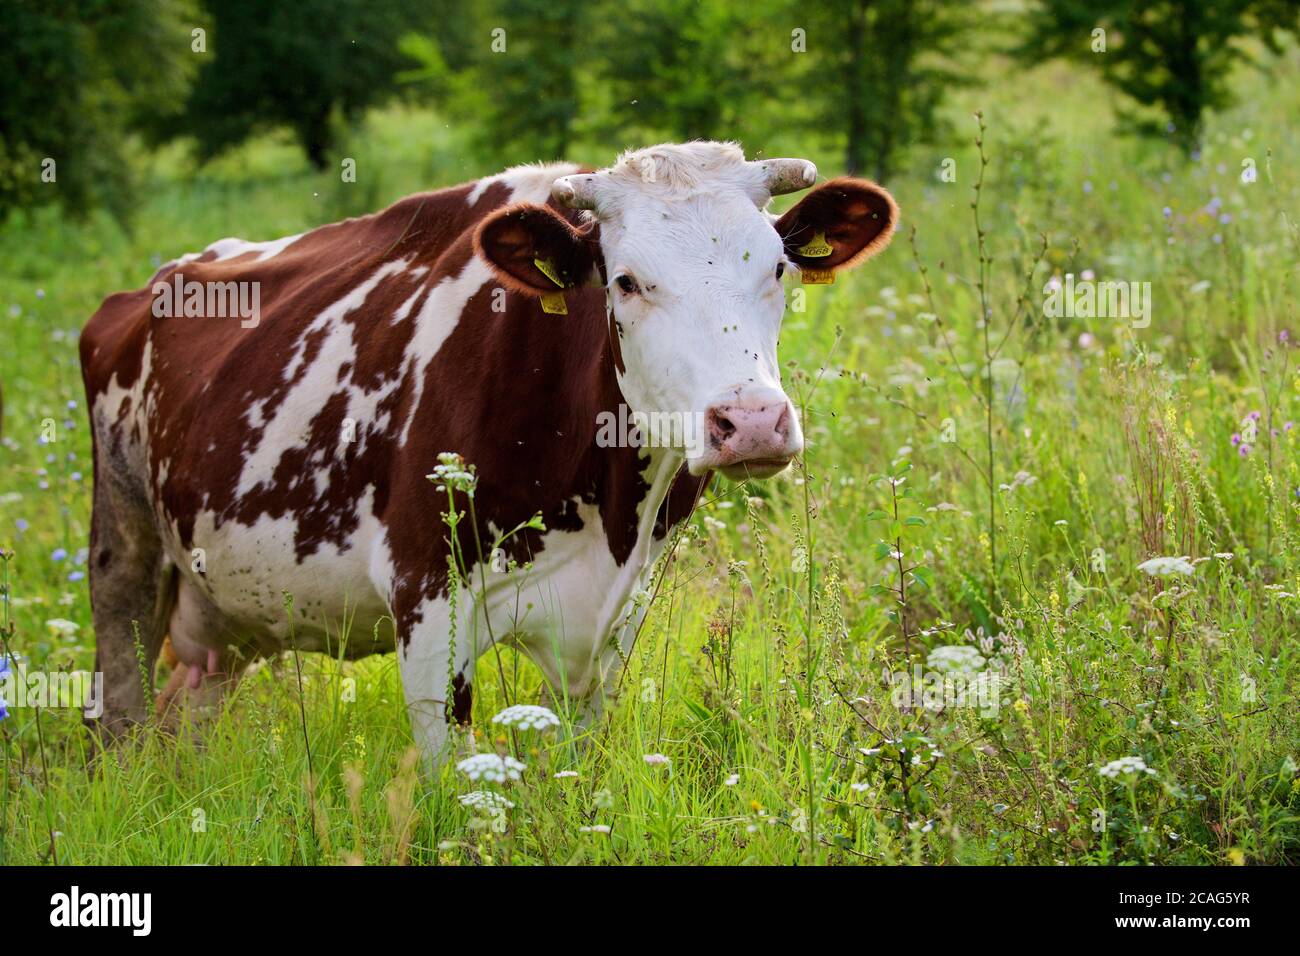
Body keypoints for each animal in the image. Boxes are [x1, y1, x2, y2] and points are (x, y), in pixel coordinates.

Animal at [80, 141, 897, 763]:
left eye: (778, 268)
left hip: (227, 611)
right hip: (123, 556)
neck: (609, 515)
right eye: (626, 281)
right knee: (116, 708)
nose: (752, 422)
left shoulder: (614, 619)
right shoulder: (425, 595)